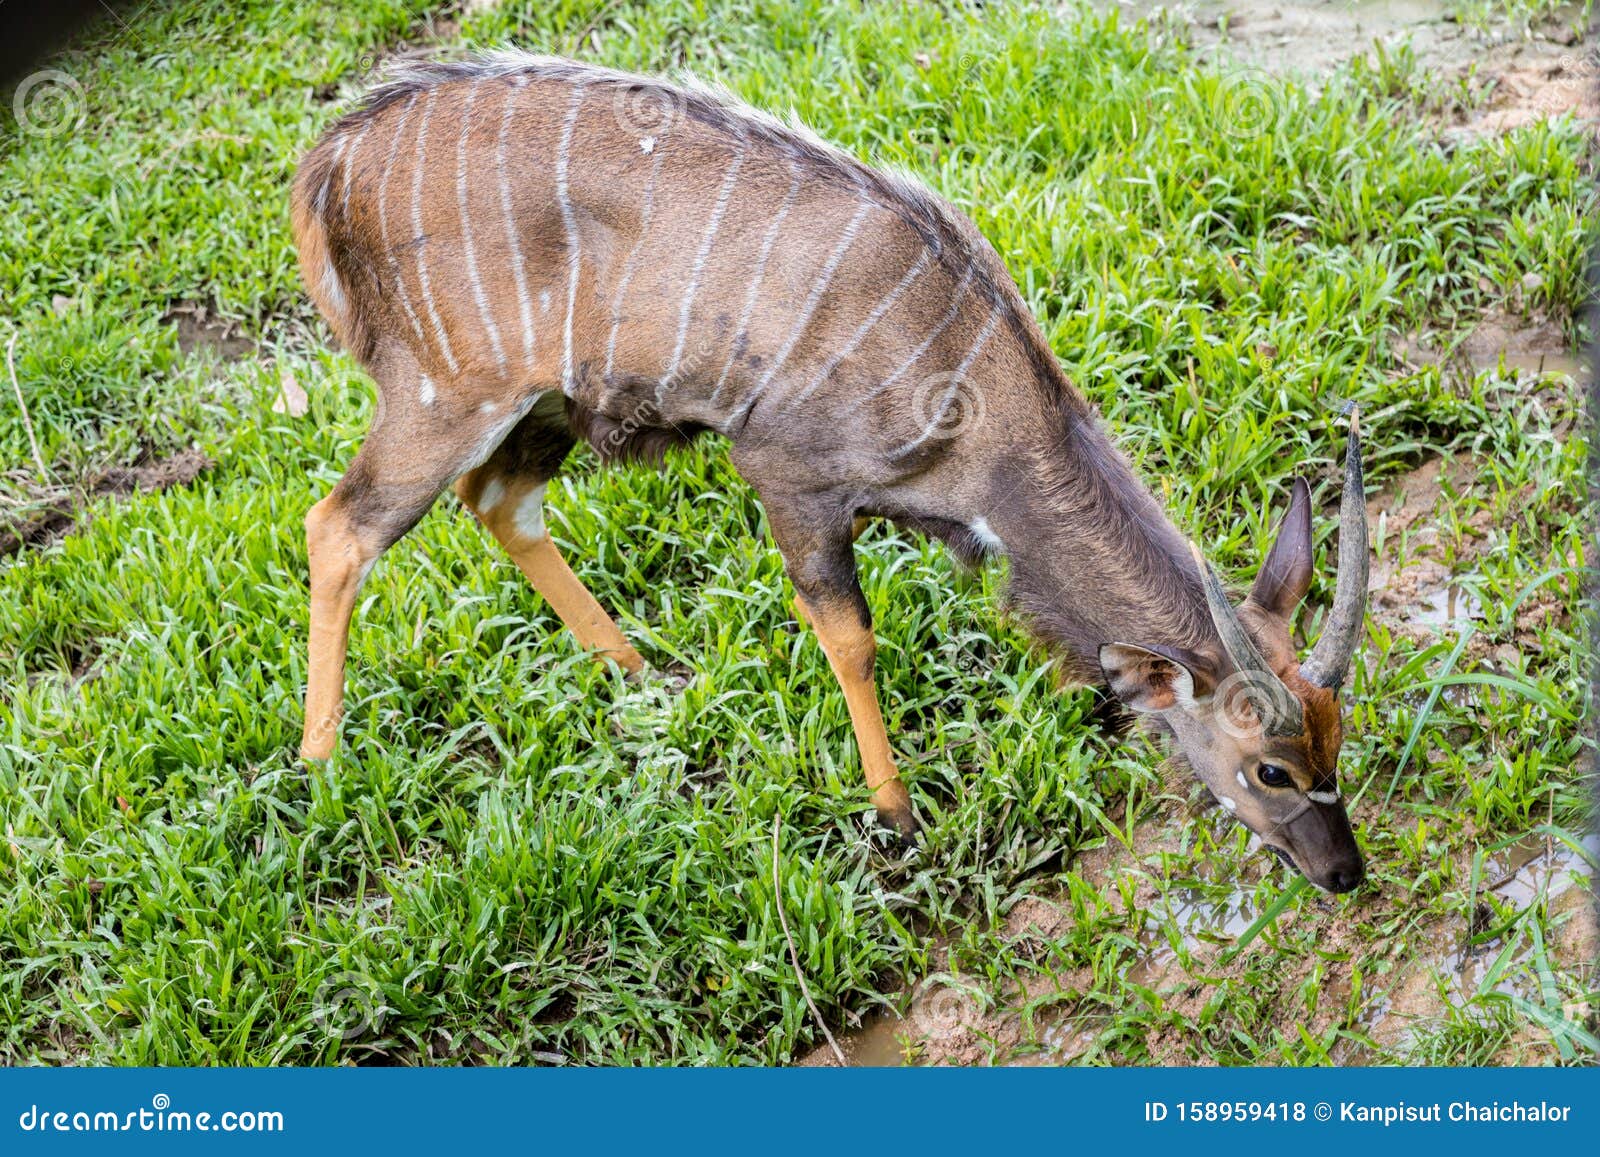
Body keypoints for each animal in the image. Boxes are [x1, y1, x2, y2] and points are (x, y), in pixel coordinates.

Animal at [289, 53, 1370, 893]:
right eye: (1270, 770)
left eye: (1337, 740)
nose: (1343, 871)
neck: (973, 383)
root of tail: (331, 162)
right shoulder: (789, 477)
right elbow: (851, 638)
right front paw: (895, 815)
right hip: (444, 397)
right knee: (340, 525)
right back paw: (318, 770)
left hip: (540, 406)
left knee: (499, 502)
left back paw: (640, 672)